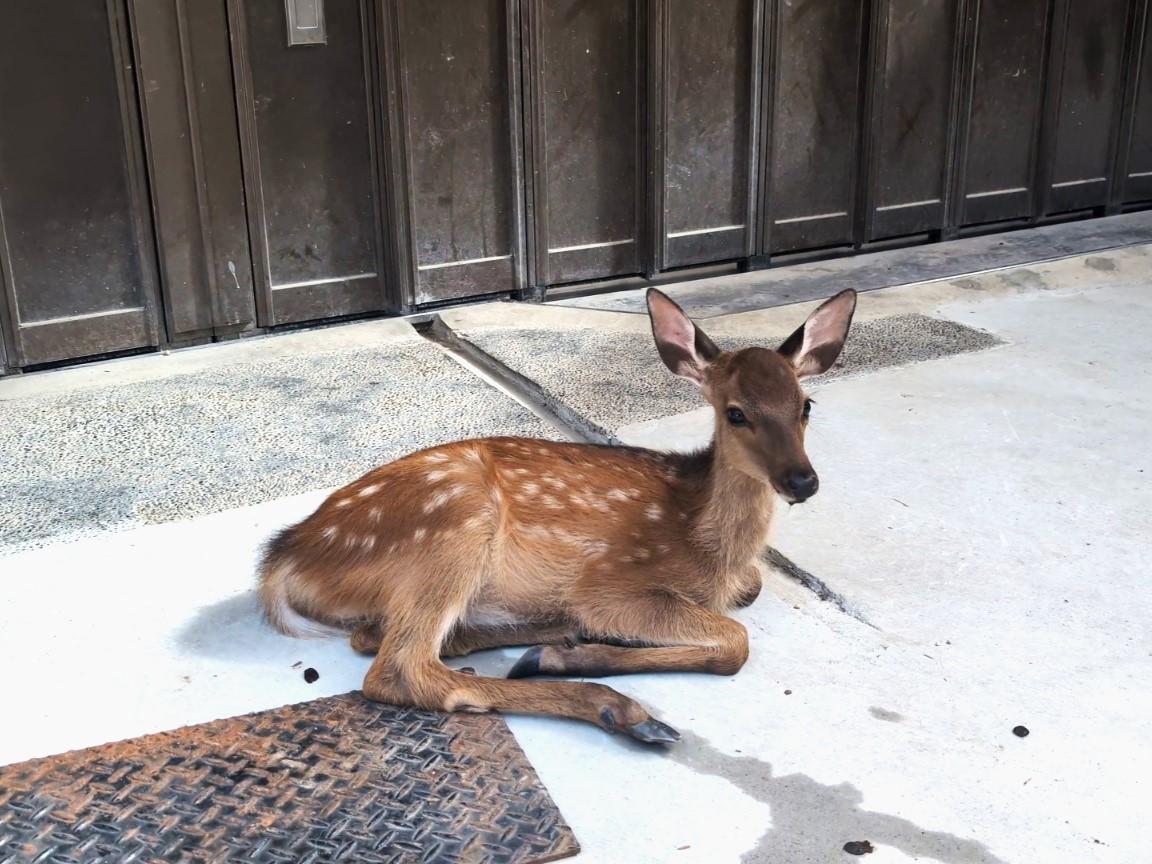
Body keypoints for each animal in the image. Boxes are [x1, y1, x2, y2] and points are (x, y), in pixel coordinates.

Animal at [258, 287, 856, 744]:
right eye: (735, 413)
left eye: (806, 405)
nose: (802, 480)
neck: (705, 541)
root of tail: (282, 560)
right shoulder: (614, 583)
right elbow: (736, 641)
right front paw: (587, 655)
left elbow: (749, 595)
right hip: (454, 523)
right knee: (401, 669)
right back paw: (617, 706)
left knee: (376, 638)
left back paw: (550, 639)